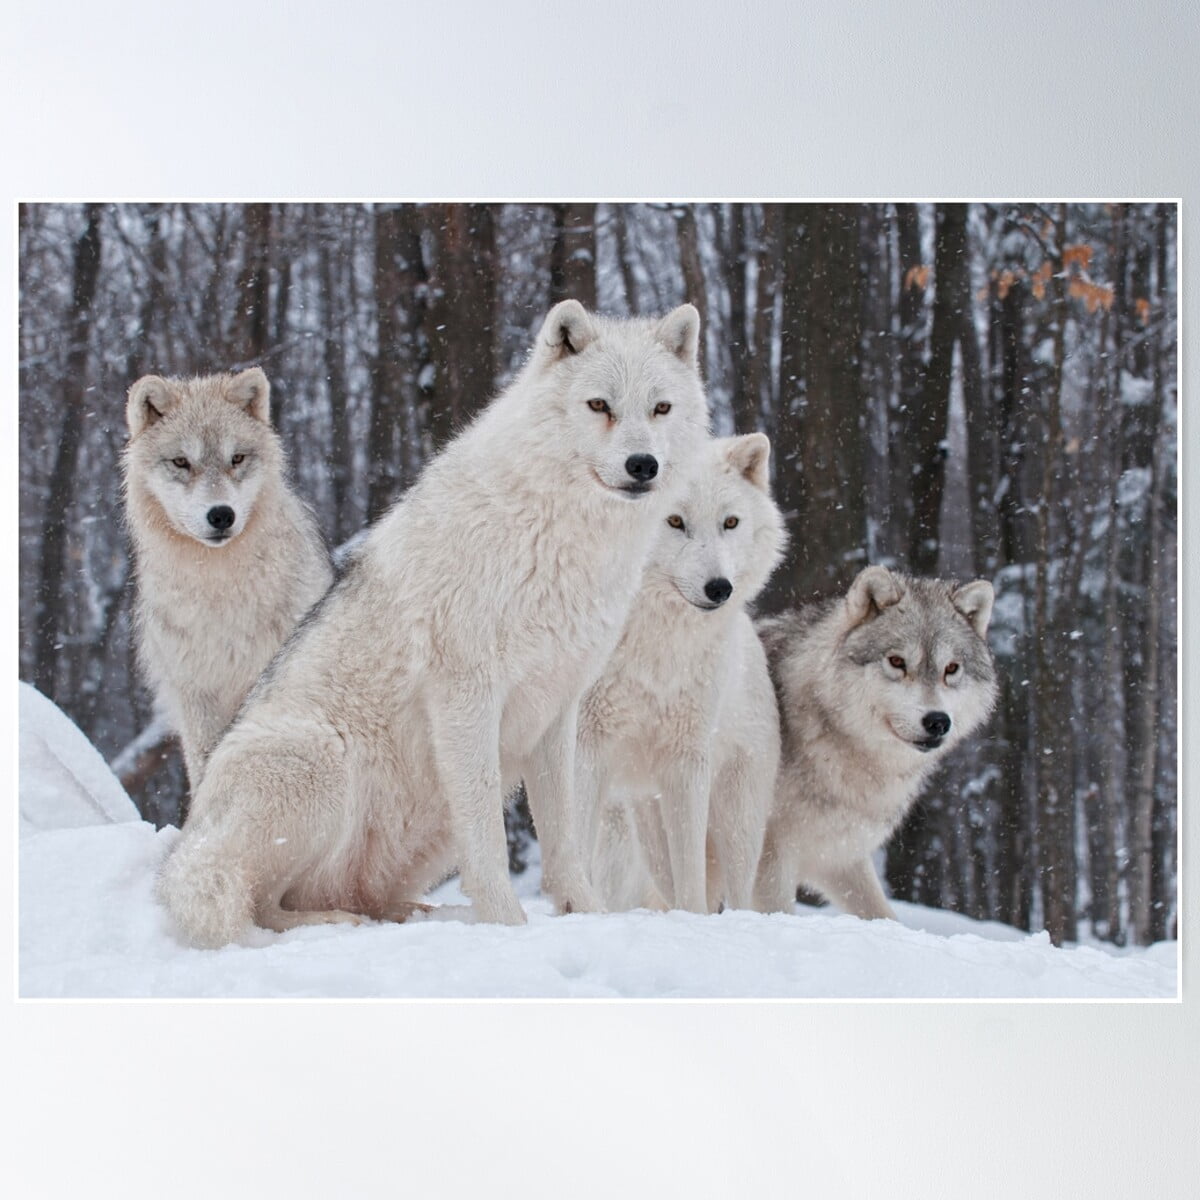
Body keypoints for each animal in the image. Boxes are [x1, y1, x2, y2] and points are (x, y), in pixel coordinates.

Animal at [157, 301, 711, 946]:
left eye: (660, 408)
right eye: (600, 405)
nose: (642, 465)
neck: (557, 536)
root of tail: (187, 842)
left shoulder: (557, 707)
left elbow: (564, 836)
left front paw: (586, 914)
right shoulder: (466, 696)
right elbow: (489, 840)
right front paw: (507, 925)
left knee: (355, 896)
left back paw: (415, 914)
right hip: (321, 760)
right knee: (258, 903)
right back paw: (337, 922)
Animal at [580, 433, 786, 914]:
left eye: (730, 522)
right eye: (674, 521)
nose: (720, 588)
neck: (653, 644)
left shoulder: (687, 760)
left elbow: (691, 877)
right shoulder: (584, 745)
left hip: (736, 820)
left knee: (736, 892)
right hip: (643, 827)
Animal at [752, 565, 998, 921]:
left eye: (951, 669)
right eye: (896, 662)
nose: (937, 721)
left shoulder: (839, 856)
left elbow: (883, 915)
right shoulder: (769, 855)